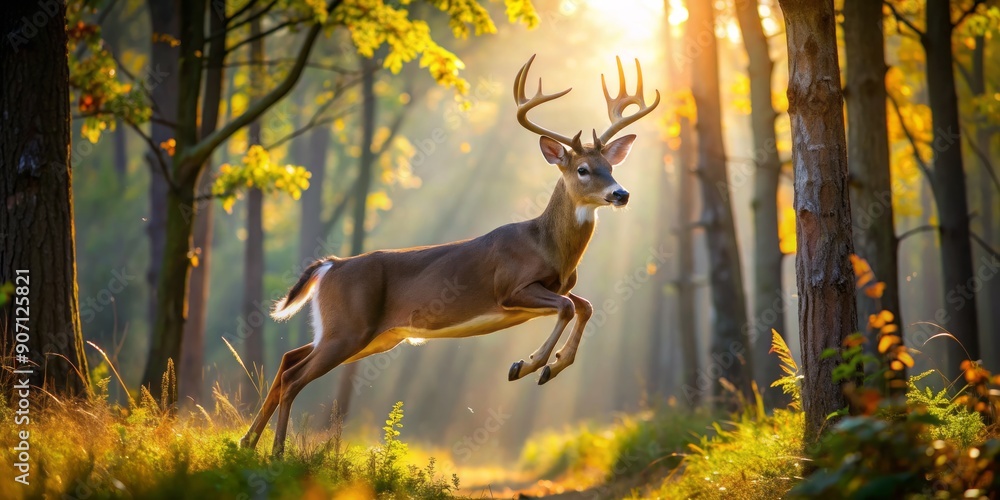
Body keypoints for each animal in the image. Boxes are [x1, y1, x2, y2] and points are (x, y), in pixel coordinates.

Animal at [240, 55, 660, 457]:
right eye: (584, 169)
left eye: (611, 166)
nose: (621, 194)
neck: (548, 246)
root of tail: (330, 265)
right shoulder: (510, 288)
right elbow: (569, 307)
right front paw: (526, 365)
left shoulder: (555, 287)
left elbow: (584, 305)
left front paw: (549, 367)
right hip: (348, 329)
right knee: (293, 376)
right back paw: (275, 453)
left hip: (366, 335)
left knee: (288, 359)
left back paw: (247, 444)